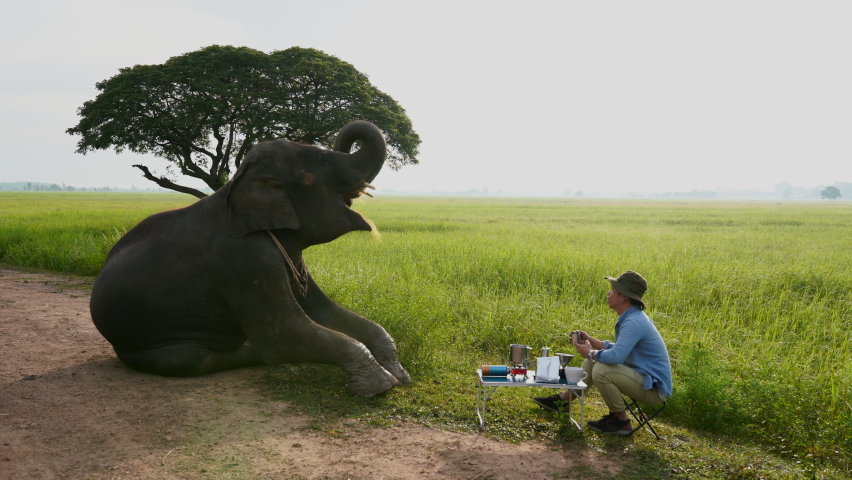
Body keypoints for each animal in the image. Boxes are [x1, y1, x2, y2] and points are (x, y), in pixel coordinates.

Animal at [90, 120, 410, 397]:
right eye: (323, 161)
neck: (237, 184)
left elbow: (325, 312)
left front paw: (399, 374)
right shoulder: (244, 260)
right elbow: (282, 334)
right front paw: (380, 386)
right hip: (144, 345)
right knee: (192, 359)